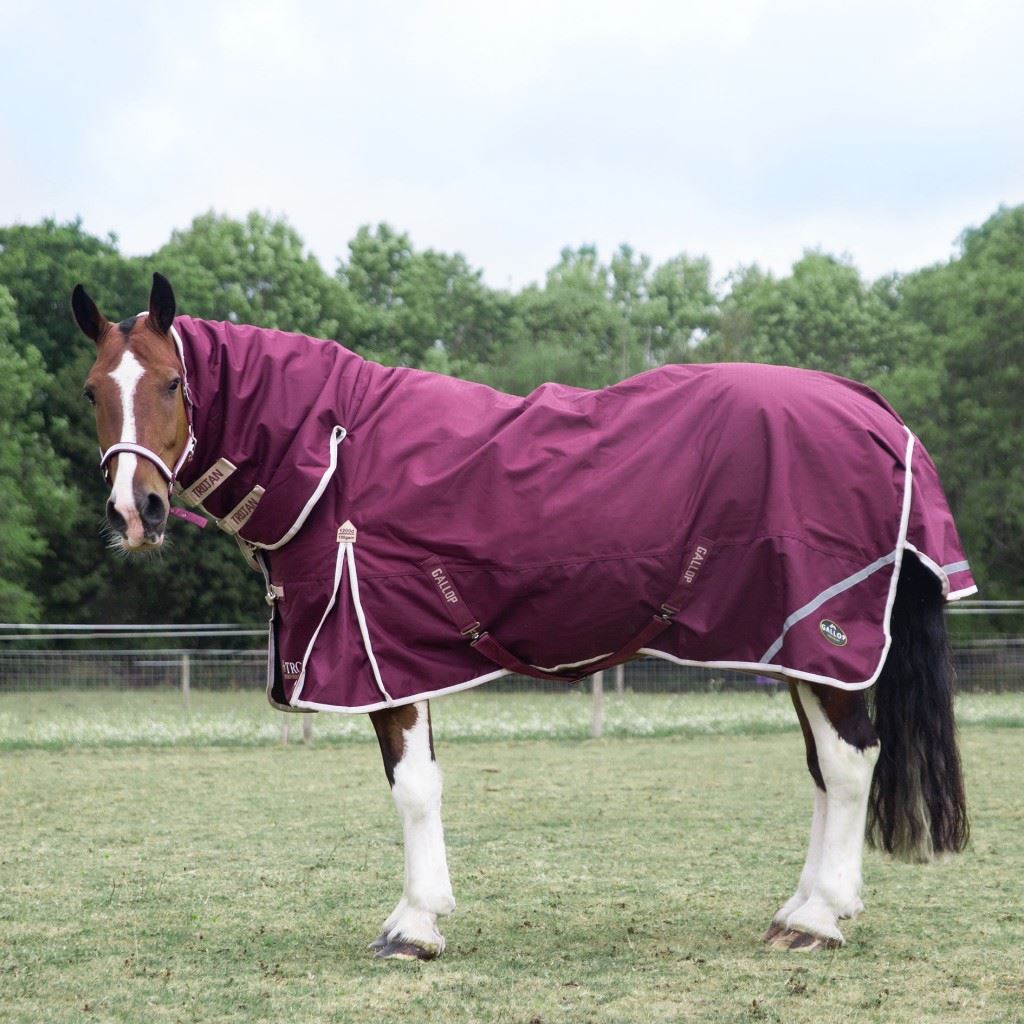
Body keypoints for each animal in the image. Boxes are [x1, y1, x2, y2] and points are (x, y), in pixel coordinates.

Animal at [72, 273, 973, 958]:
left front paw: (414, 927)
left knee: (851, 761)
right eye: (91, 391)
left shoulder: (381, 655)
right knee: (825, 768)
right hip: (793, 650)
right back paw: (800, 909)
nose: (134, 512)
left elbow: (413, 789)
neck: (334, 454)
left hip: (826, 640)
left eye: (172, 383)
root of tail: (875, 411)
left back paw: (820, 920)